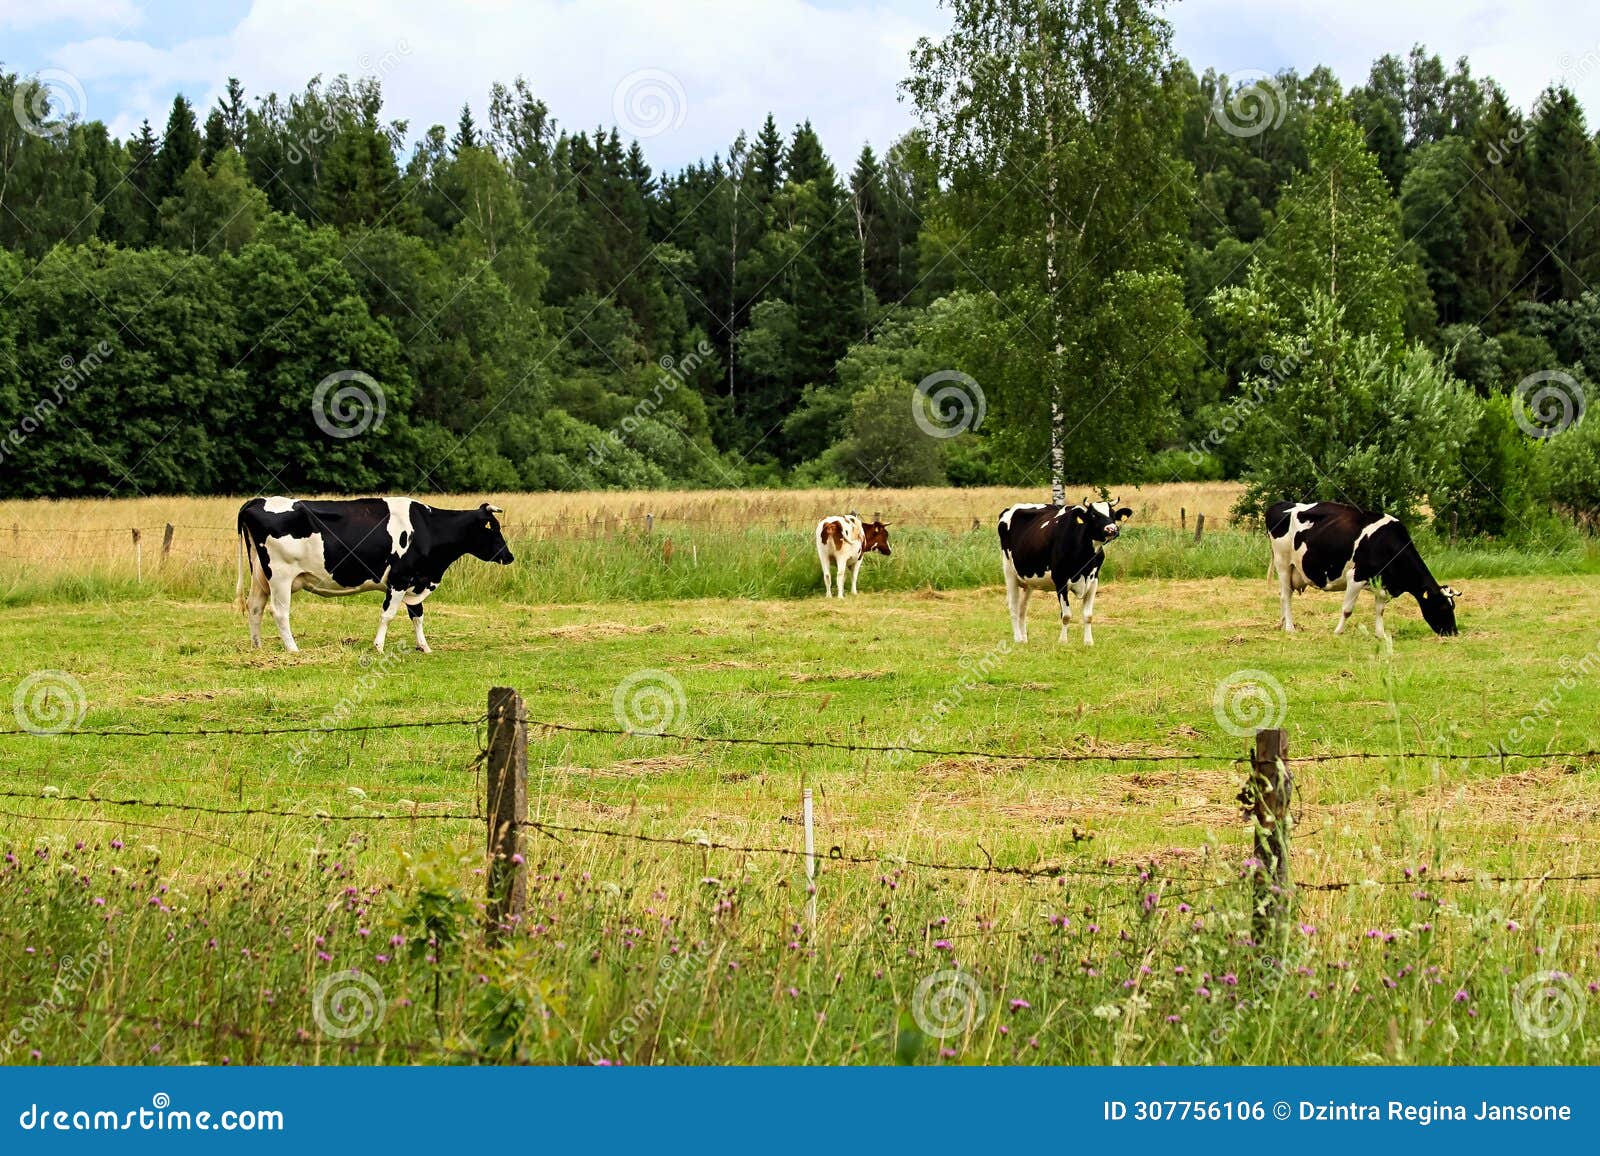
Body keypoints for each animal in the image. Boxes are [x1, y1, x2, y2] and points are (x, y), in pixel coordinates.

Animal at [235, 496, 514, 653]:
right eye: (493, 529)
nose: (509, 556)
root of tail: (257, 500)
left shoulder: (416, 580)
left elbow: (417, 615)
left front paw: (424, 647)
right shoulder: (400, 579)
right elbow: (388, 614)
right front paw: (378, 646)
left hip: (260, 575)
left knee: (255, 607)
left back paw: (257, 646)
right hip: (280, 576)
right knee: (279, 611)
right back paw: (293, 649)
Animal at [999, 499, 1132, 645]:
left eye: (1112, 514)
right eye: (1093, 515)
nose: (1112, 529)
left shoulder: (1093, 581)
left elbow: (1088, 615)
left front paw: (1088, 642)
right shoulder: (1060, 581)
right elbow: (1066, 615)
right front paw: (1063, 641)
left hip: (1028, 581)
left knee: (1022, 608)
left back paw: (1024, 639)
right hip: (1009, 571)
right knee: (1014, 607)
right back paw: (1017, 638)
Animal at [1267, 500, 1459, 638]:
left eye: (1453, 606)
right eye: (1443, 607)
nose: (1454, 632)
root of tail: (1281, 504)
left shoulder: (1382, 584)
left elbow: (1380, 610)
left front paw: (1380, 634)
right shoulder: (1355, 577)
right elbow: (1347, 610)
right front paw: (1338, 632)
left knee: (1284, 595)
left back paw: (1282, 624)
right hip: (1283, 564)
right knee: (1286, 596)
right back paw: (1290, 628)